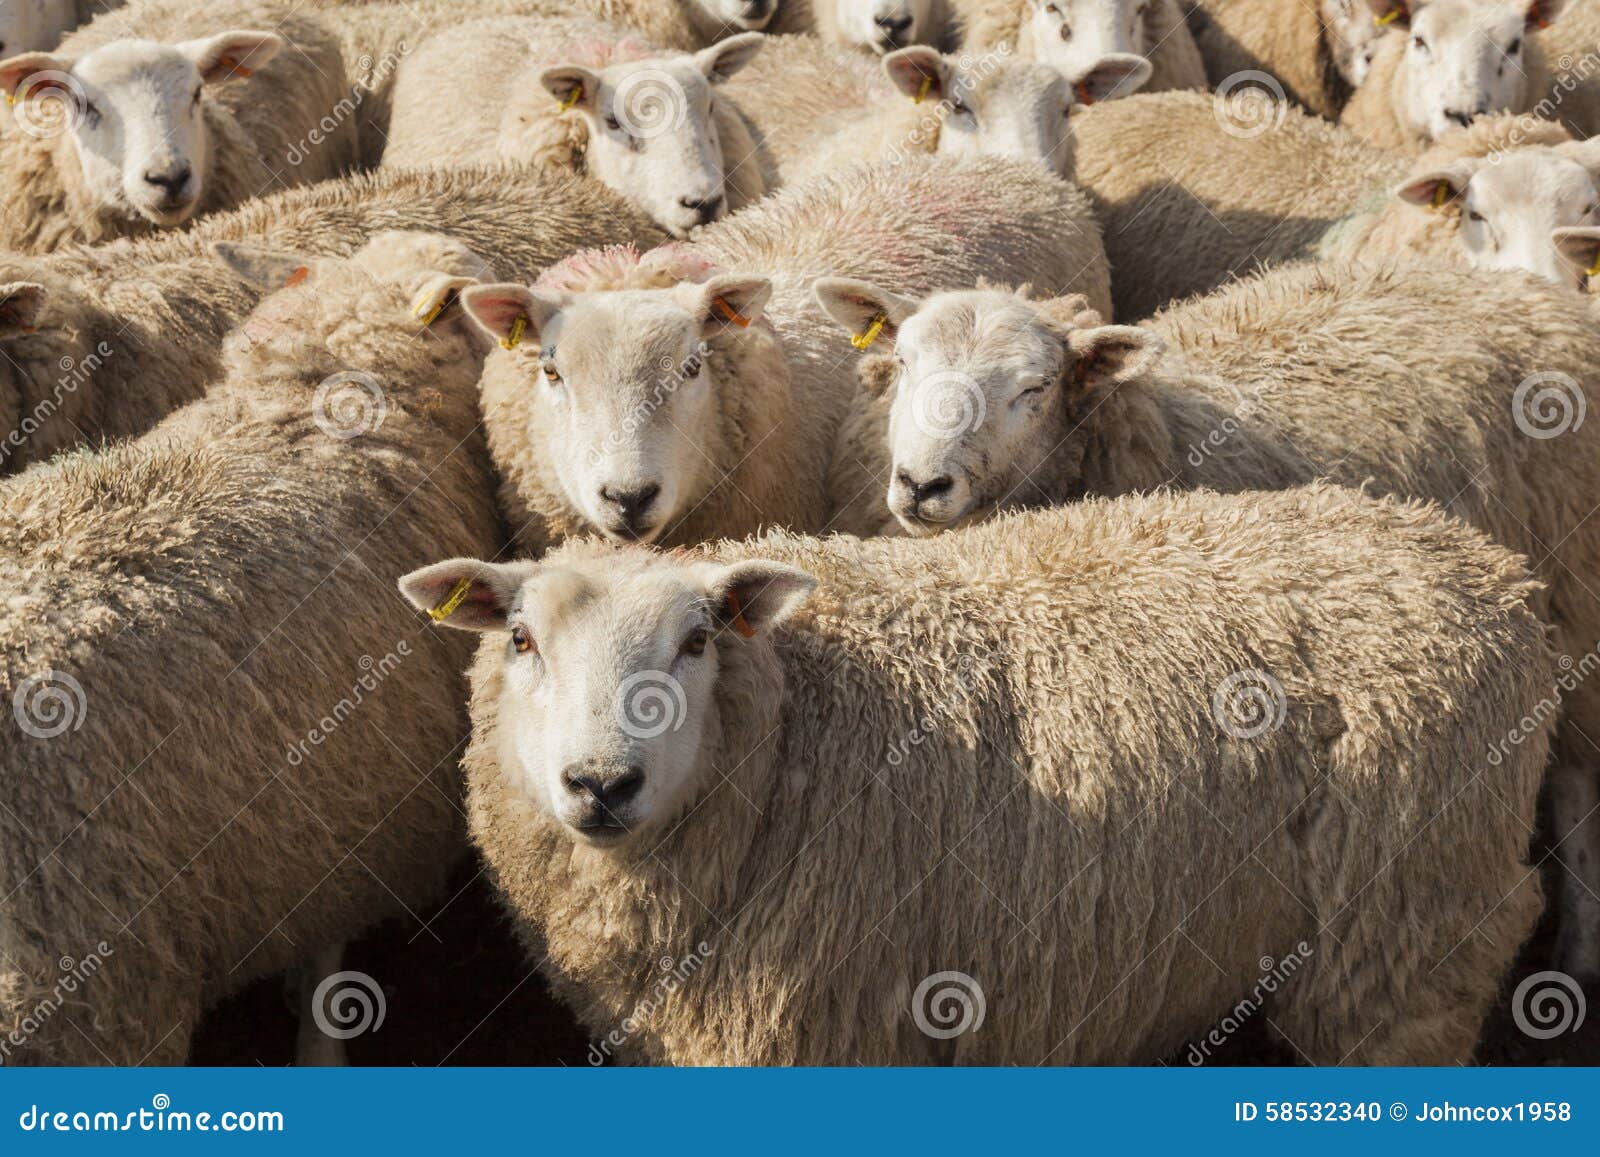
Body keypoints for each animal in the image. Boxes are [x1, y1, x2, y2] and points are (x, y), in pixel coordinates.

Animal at [810, 258, 1600, 982]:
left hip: (1578, 604)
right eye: (903, 363)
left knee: (1576, 784)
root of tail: (1512, 283)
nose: (921, 486)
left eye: (1033, 389)